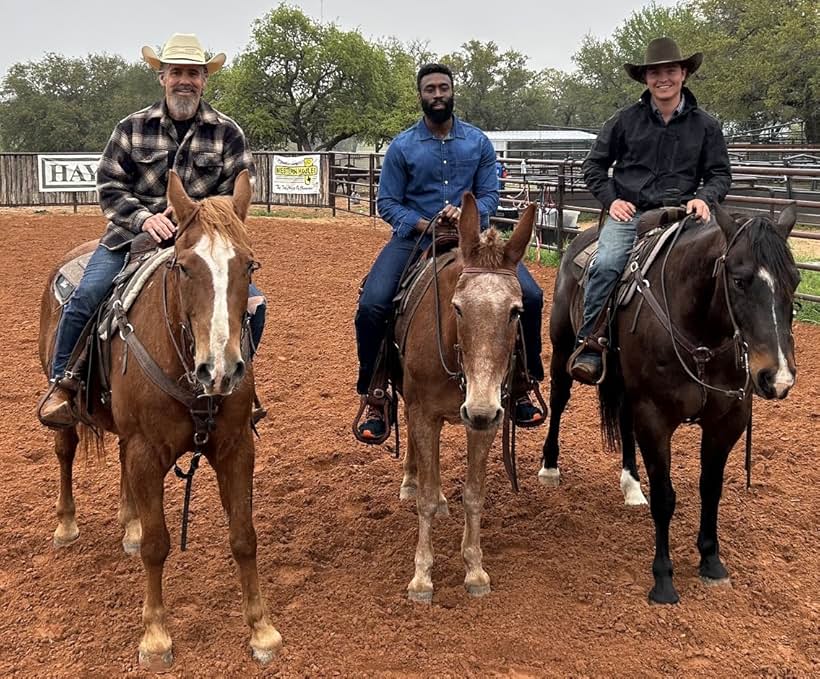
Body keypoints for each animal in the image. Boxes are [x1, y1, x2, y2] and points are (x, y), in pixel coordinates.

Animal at [37, 173, 282, 672]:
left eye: (249, 266)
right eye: (185, 267)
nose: (221, 370)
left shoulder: (235, 448)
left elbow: (244, 537)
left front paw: (261, 630)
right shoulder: (147, 451)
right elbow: (157, 545)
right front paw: (155, 637)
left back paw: (128, 523)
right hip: (69, 412)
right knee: (65, 452)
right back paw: (66, 526)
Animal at [398, 194, 540, 604]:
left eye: (516, 311)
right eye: (458, 307)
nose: (477, 409)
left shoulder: (487, 419)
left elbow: (474, 495)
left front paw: (475, 570)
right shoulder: (425, 414)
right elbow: (426, 500)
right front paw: (422, 577)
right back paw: (410, 479)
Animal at [540, 205, 796, 604]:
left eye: (795, 281)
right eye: (739, 280)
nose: (778, 377)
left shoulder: (728, 420)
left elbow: (711, 488)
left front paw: (711, 561)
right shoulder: (654, 416)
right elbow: (664, 496)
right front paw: (663, 579)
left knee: (623, 421)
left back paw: (631, 484)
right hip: (564, 351)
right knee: (558, 400)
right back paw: (549, 467)